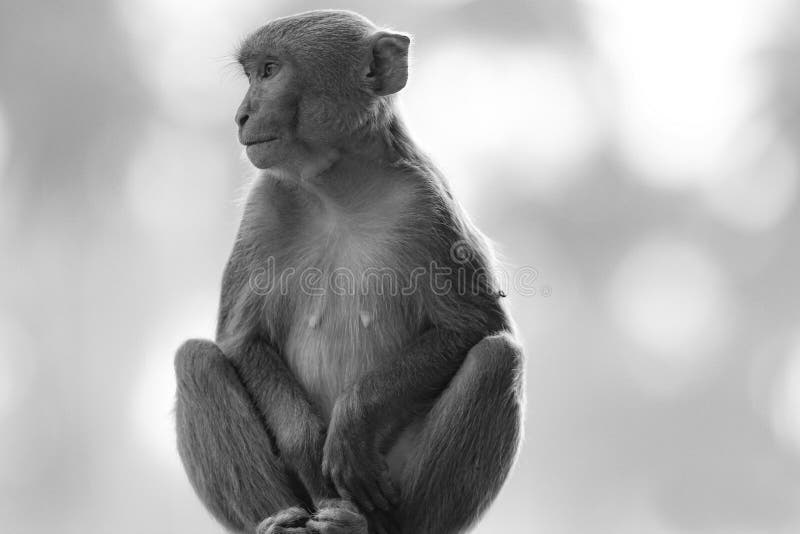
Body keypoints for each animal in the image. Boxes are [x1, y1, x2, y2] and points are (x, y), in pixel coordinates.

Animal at [174, 9, 524, 534]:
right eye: (252, 73)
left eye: (270, 71)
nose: (241, 115)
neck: (337, 189)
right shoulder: (263, 206)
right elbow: (241, 339)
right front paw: (304, 442)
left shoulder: (425, 202)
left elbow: (474, 326)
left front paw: (352, 424)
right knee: (195, 361)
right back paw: (280, 518)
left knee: (497, 359)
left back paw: (375, 526)